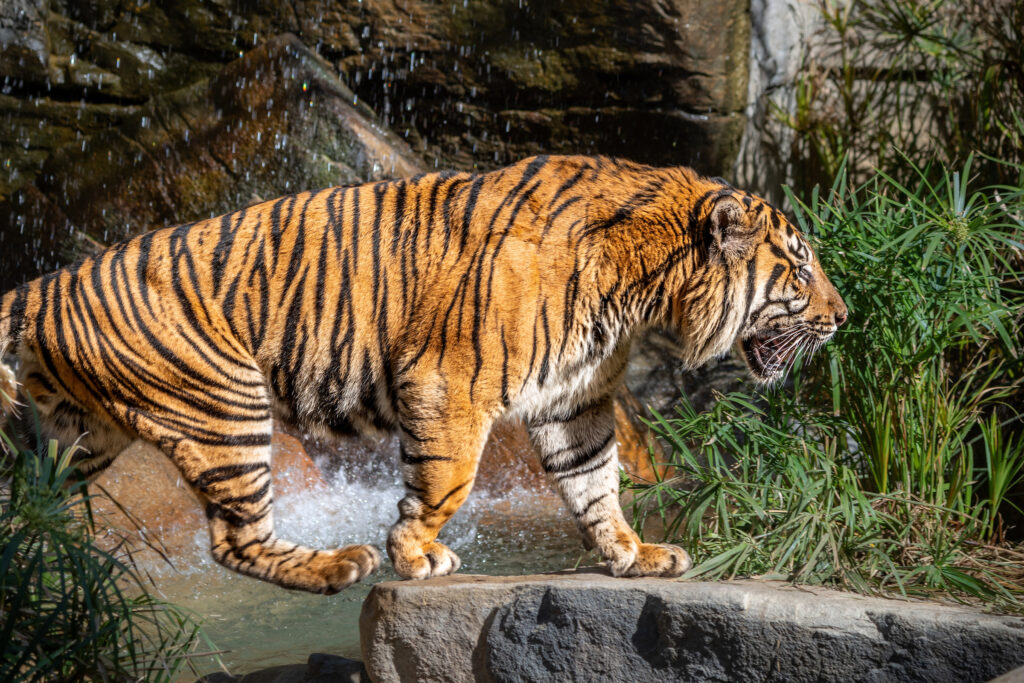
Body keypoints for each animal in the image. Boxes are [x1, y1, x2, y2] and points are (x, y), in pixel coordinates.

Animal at [0, 155, 847, 594]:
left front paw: (632, 554)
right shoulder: (452, 383)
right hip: (225, 405)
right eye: (801, 270)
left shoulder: (573, 397)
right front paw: (415, 552)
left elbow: (594, 483)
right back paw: (341, 562)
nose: (841, 316)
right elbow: (447, 480)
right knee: (234, 539)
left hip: (76, 441)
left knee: (31, 508)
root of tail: (49, 281)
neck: (641, 288)